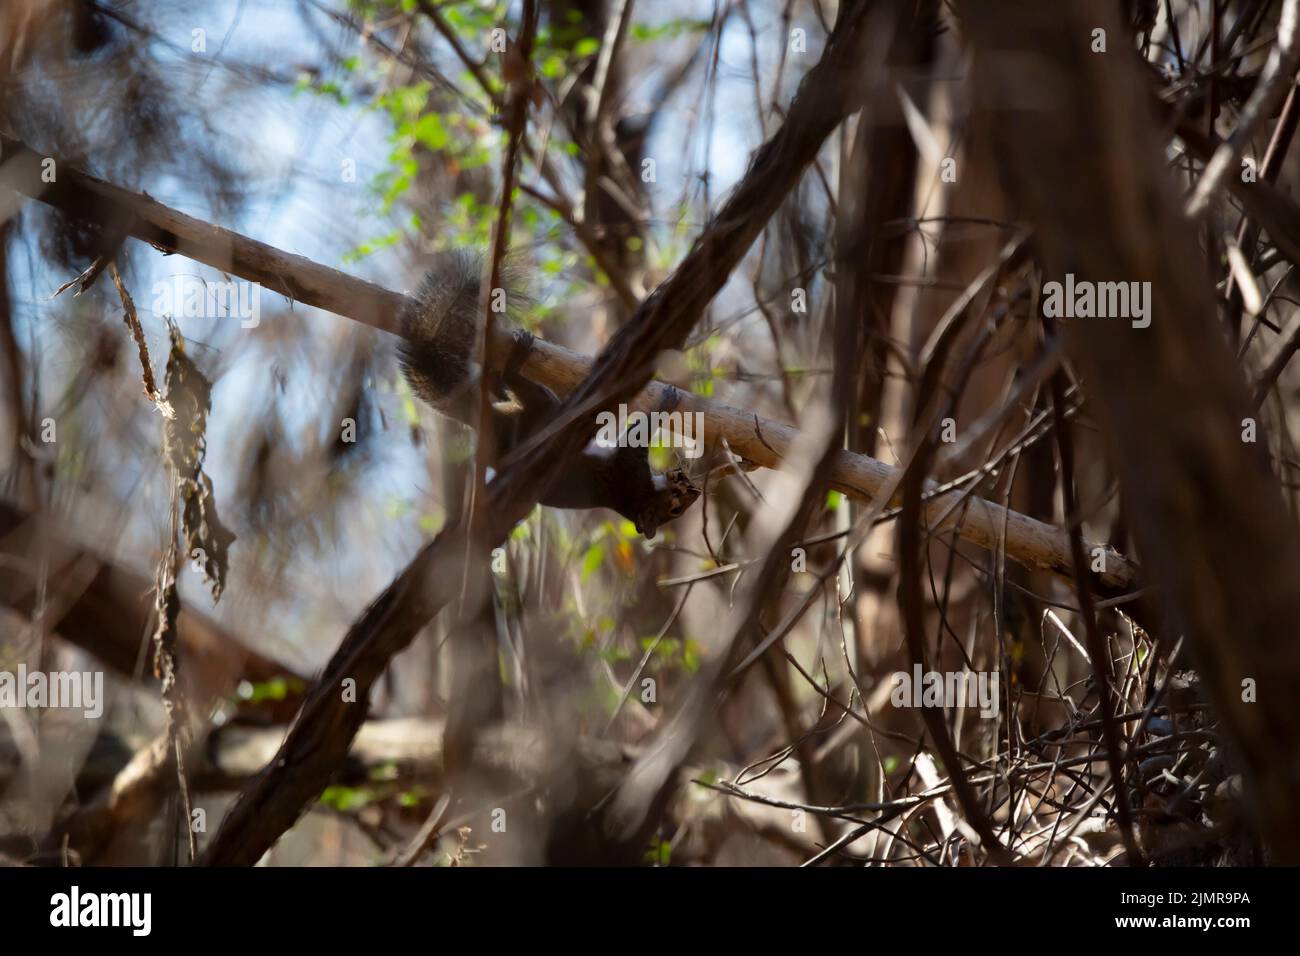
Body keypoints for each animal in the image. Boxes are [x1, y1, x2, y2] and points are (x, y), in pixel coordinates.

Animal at [397, 251, 699, 538]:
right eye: (676, 507)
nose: (694, 489)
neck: (634, 499)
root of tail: (491, 427)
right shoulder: (629, 472)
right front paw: (667, 402)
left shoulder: (628, 473)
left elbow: (634, 441)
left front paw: (665, 402)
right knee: (505, 385)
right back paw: (500, 369)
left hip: (542, 407)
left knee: (517, 387)